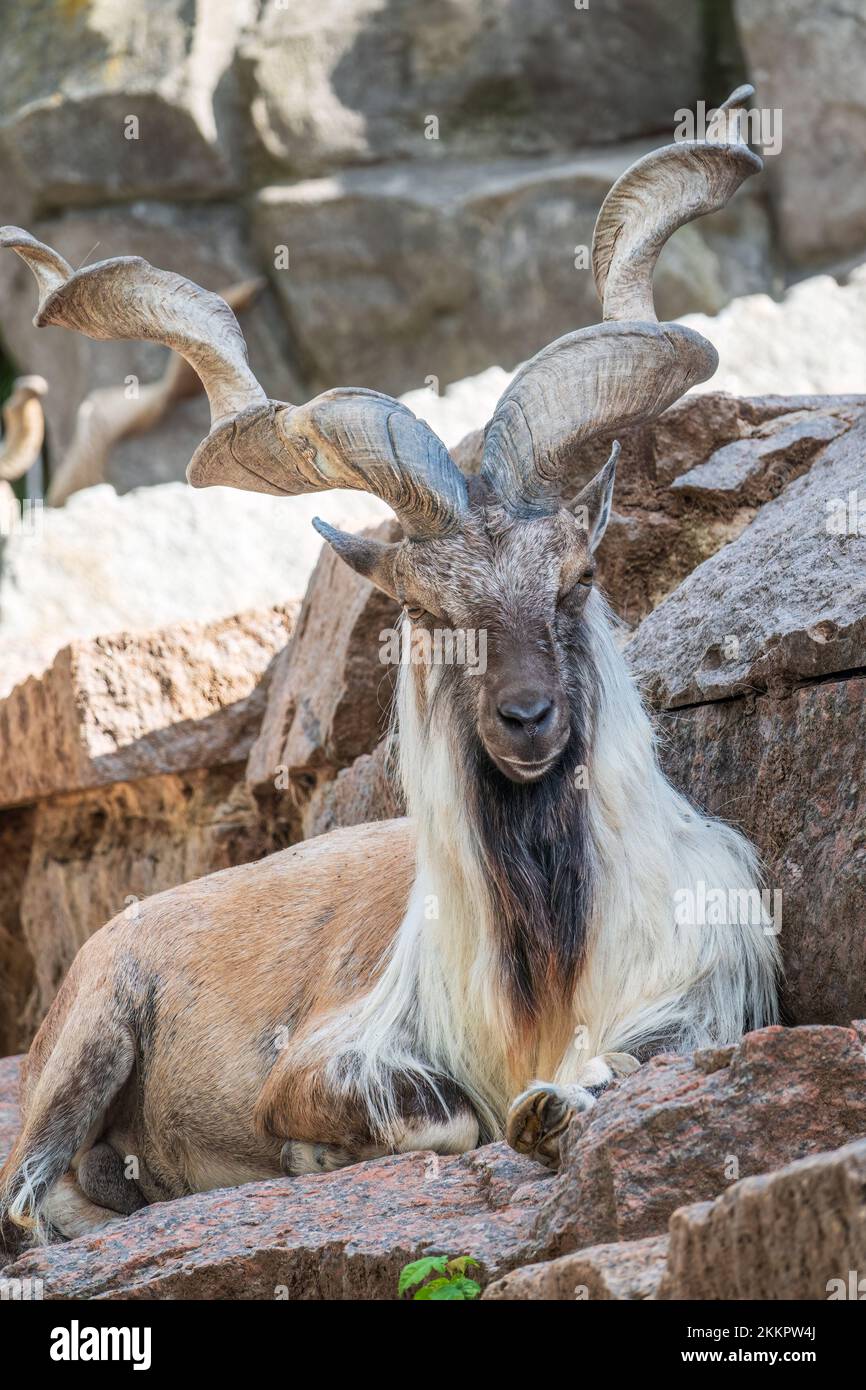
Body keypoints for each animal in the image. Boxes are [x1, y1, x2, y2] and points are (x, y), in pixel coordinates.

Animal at [0, 89, 779, 1249]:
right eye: (423, 608)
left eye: (578, 574)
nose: (526, 719)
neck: (548, 966)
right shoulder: (326, 1060)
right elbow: (439, 1115)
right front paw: (314, 1154)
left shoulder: (706, 1000)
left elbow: (622, 1070)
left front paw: (559, 1104)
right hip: (93, 1025)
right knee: (29, 1194)